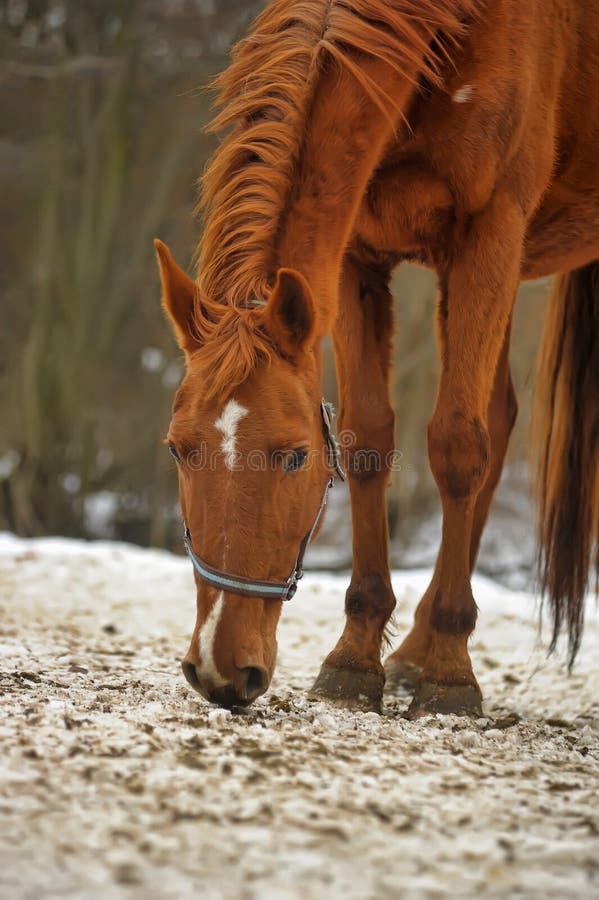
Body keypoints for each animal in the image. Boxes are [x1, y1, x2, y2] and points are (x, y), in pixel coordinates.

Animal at [155, 0, 599, 716]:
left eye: (295, 456)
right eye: (177, 449)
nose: (220, 670)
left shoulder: (492, 231)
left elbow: (457, 446)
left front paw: (451, 673)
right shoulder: (355, 257)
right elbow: (368, 441)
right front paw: (356, 657)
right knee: (501, 415)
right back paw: (413, 649)